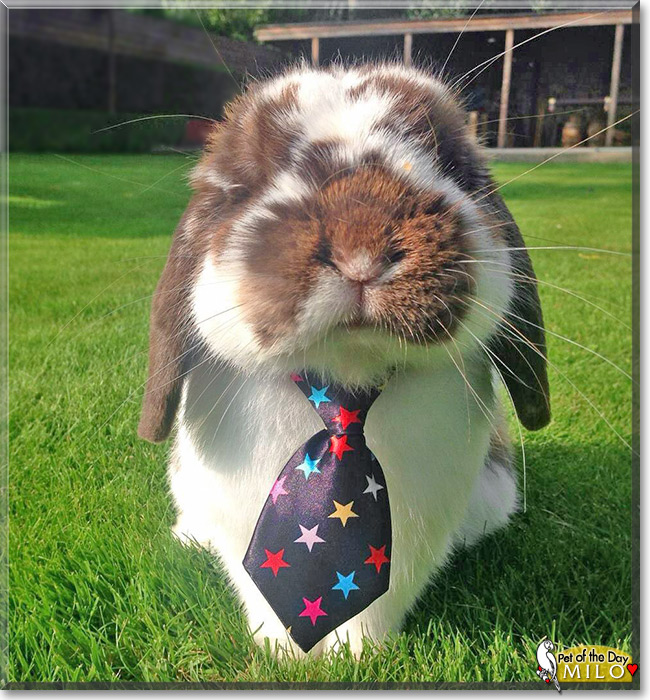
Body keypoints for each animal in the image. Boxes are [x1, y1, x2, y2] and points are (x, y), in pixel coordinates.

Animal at [138, 63, 550, 658]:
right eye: (248, 180)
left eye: (454, 164)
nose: (362, 246)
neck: (346, 380)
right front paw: (282, 653)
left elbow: (375, 611)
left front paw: (355, 655)